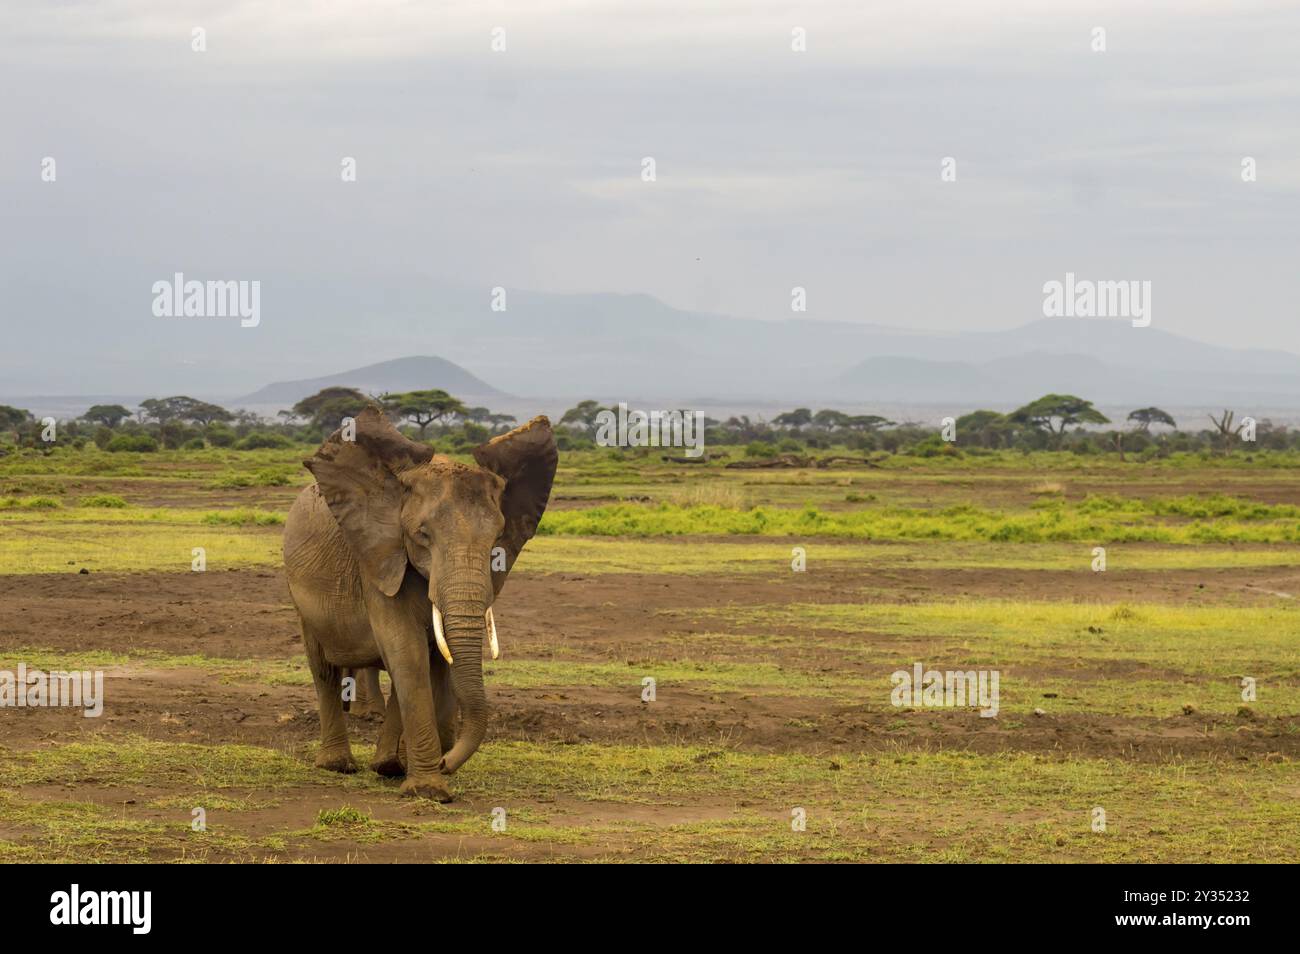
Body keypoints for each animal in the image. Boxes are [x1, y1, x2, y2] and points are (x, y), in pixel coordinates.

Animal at [283, 405, 557, 801]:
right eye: (422, 535)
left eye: (496, 538)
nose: (446, 763)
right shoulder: (379, 559)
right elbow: (407, 651)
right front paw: (429, 789)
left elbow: (435, 657)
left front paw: (398, 768)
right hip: (300, 594)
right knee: (323, 668)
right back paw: (339, 765)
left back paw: (387, 764)